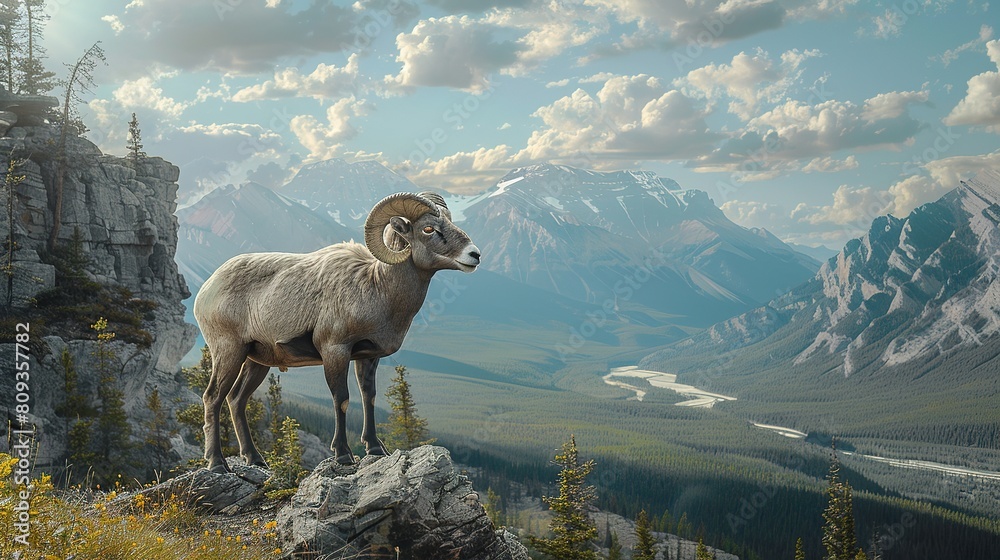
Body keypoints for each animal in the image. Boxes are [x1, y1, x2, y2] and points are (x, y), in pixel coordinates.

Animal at [193, 191, 481, 472]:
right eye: (428, 229)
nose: (474, 255)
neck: (377, 287)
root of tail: (207, 289)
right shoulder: (335, 351)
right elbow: (341, 399)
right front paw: (343, 455)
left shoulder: (367, 357)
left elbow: (368, 397)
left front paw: (375, 449)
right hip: (229, 352)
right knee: (213, 398)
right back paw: (217, 464)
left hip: (256, 361)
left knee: (236, 400)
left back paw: (254, 459)